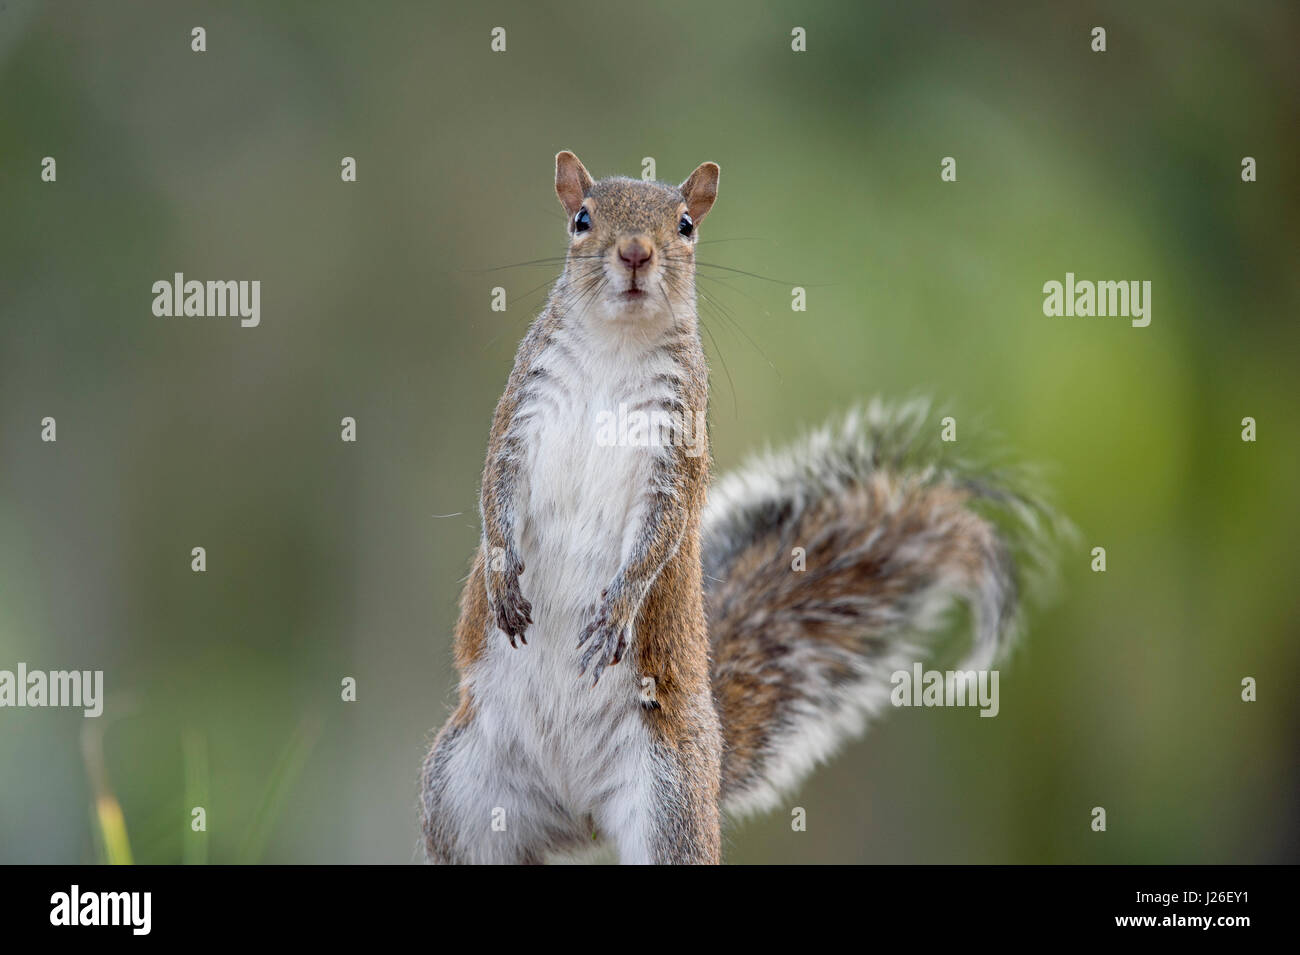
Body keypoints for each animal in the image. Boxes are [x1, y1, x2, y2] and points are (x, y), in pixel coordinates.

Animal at [420, 151, 1065, 864]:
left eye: (686, 225)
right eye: (581, 219)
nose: (636, 253)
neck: (616, 346)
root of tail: (576, 811)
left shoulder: (677, 451)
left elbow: (660, 535)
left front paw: (616, 611)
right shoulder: (519, 416)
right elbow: (496, 493)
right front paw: (503, 579)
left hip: (669, 803)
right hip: (461, 797)